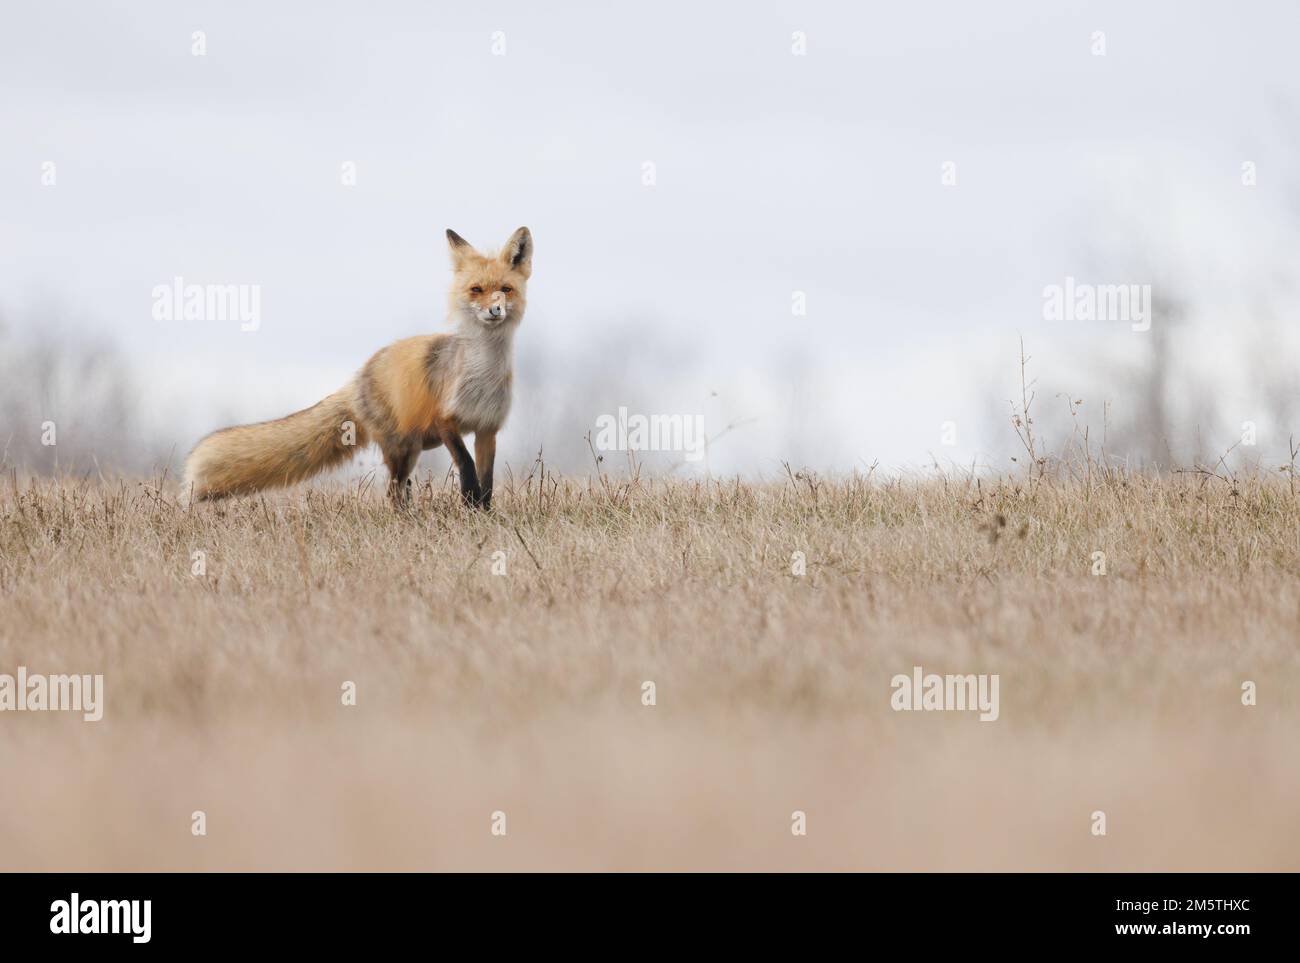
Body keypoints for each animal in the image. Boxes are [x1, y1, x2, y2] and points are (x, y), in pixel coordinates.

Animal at [183, 226, 532, 510]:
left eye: (506, 289)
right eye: (476, 290)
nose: (495, 309)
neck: (482, 378)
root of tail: (359, 376)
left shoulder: (487, 428)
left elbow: (487, 482)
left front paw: (483, 515)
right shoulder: (445, 421)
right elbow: (467, 467)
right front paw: (469, 507)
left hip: (415, 446)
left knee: (400, 489)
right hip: (402, 447)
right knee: (394, 491)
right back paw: (406, 520)